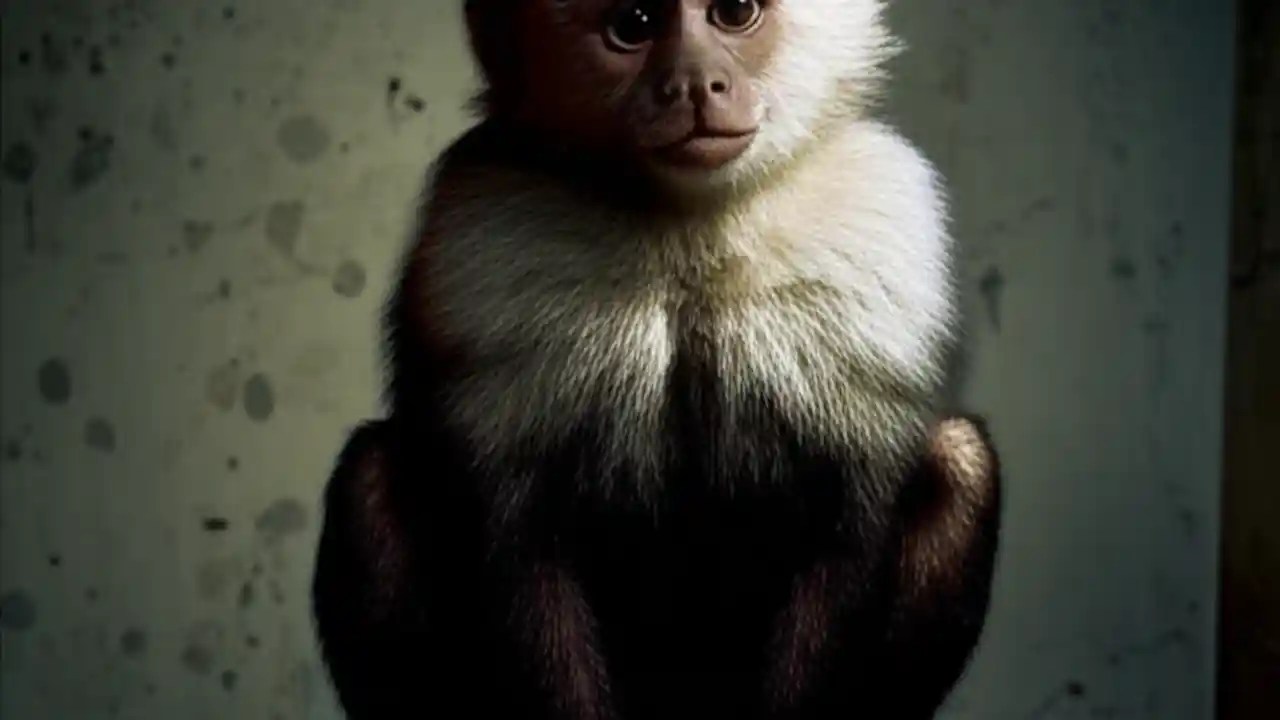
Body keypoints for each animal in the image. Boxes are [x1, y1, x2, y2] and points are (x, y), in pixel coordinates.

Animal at [311, 1, 1002, 719]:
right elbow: (514, 542)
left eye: (734, 13)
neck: (690, 227)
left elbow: (847, 536)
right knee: (369, 474)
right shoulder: (482, 230)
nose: (694, 85)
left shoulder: (880, 217)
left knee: (962, 461)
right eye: (634, 26)